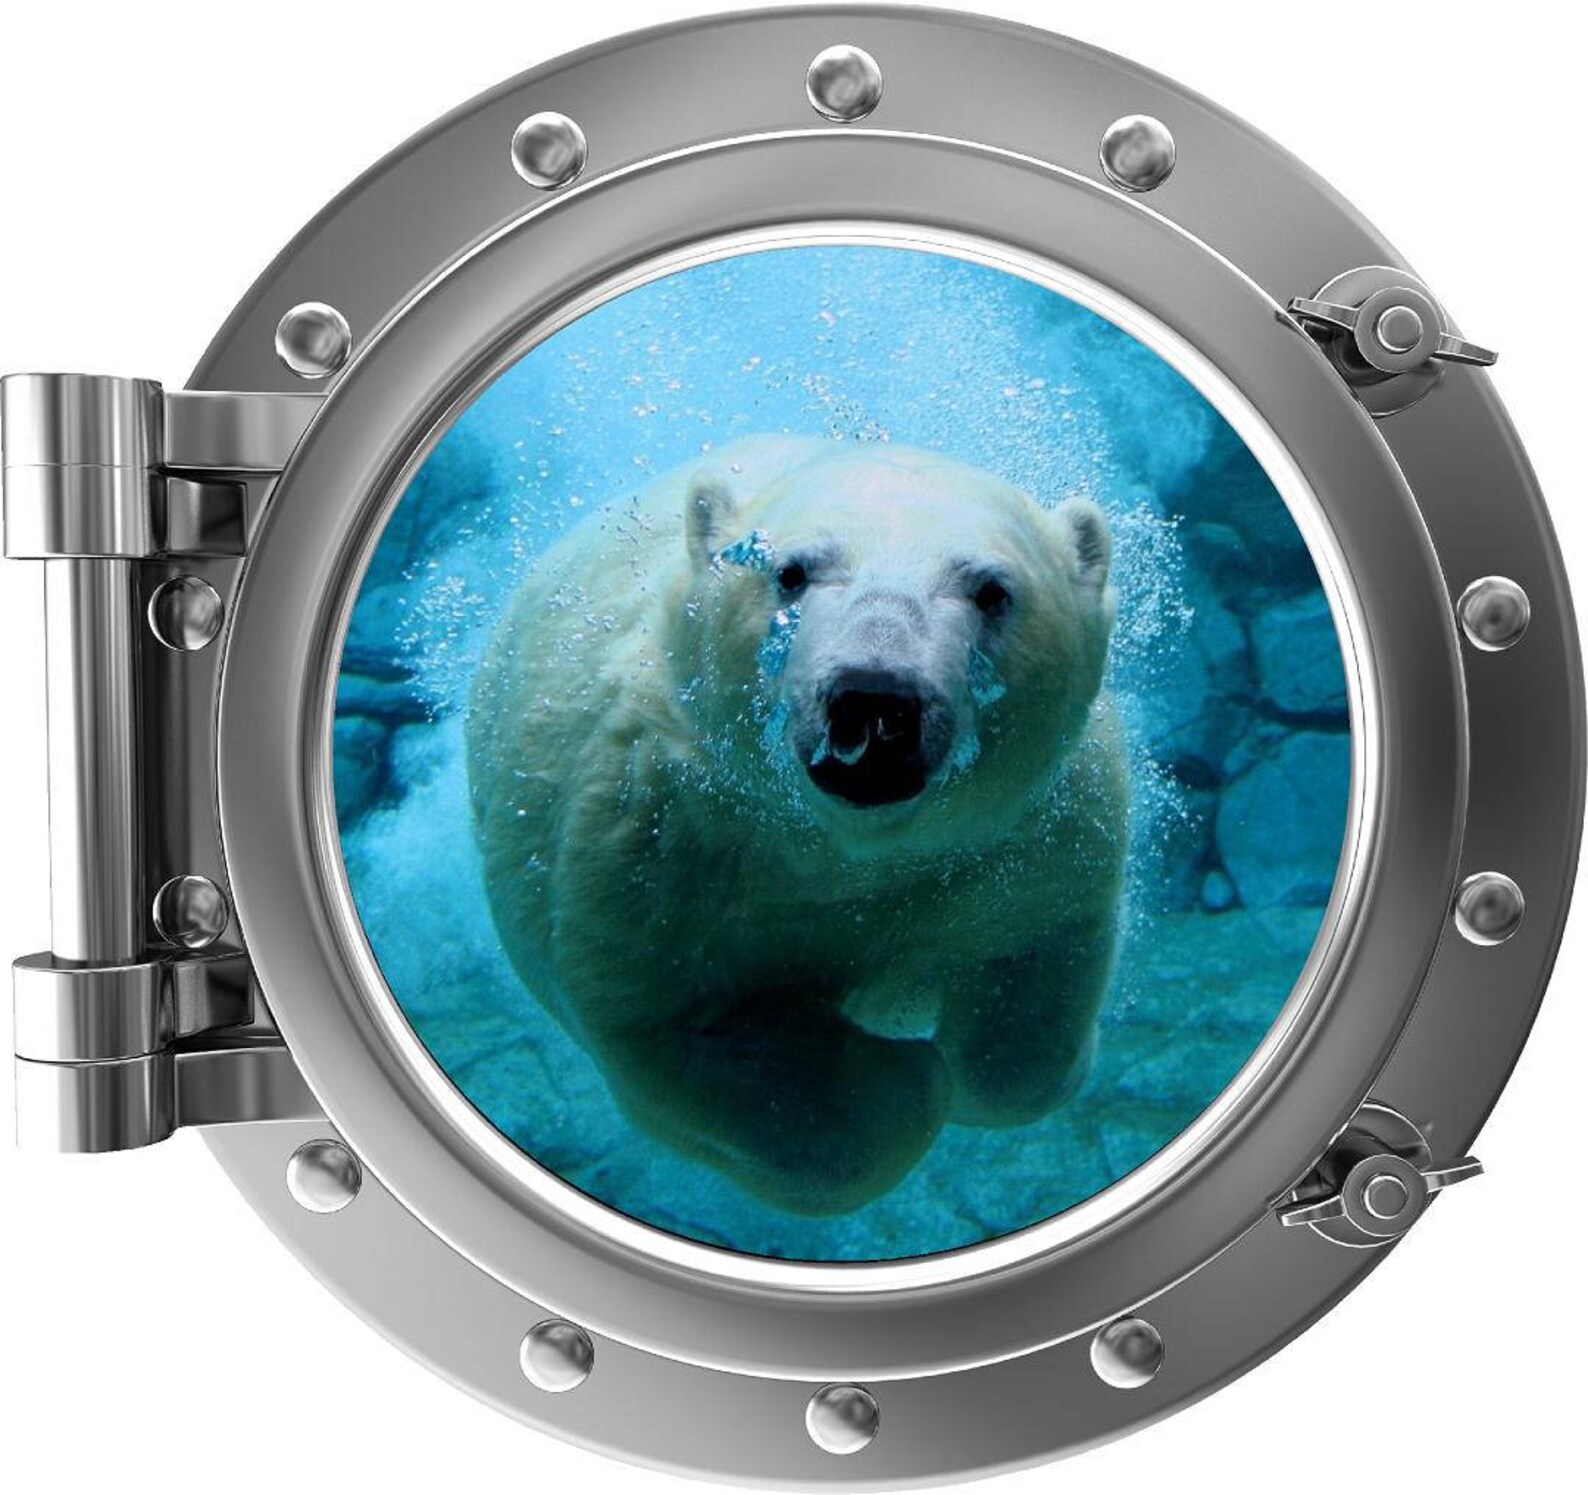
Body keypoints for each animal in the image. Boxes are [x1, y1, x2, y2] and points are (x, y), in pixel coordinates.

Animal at [466, 436, 1128, 1216]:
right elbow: (680, 1032)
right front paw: (906, 1077)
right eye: (790, 572)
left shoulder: (1029, 835)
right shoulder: (653, 842)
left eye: (992, 590)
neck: (843, 850)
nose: (875, 700)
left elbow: (1032, 977)